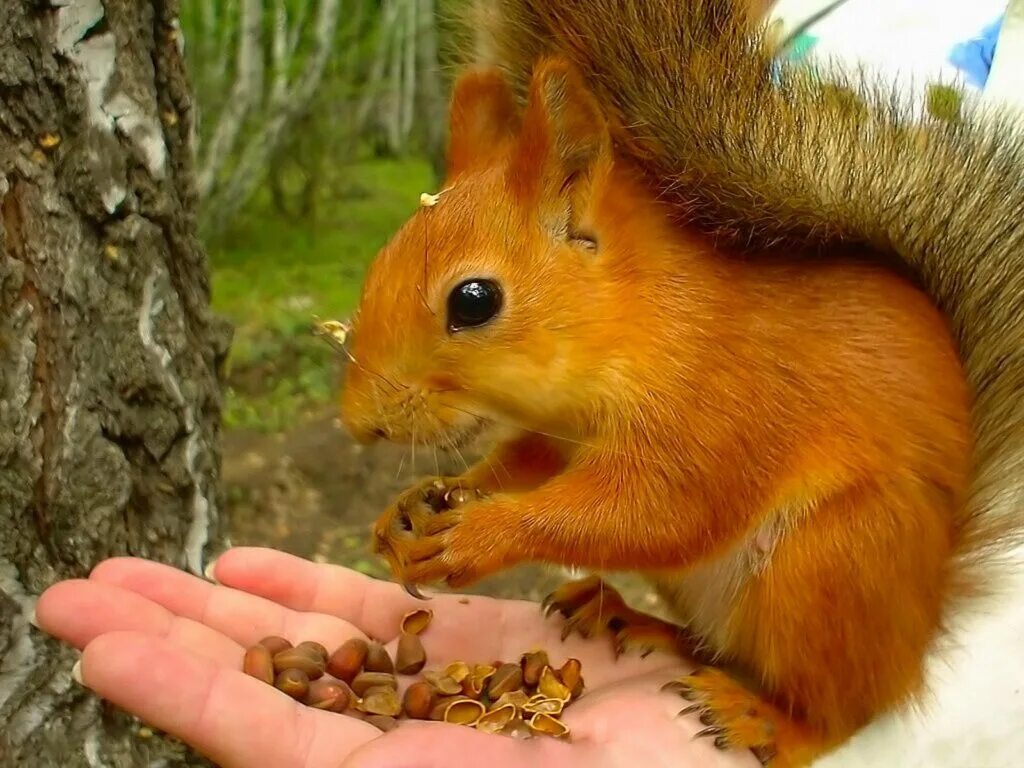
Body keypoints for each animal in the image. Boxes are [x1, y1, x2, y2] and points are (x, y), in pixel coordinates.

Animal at [339, 1, 1024, 768]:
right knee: (716, 648)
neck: (636, 320)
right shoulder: (557, 432)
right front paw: (417, 507)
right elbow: (528, 465)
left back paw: (763, 720)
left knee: (840, 710)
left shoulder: (715, 403)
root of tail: (919, 628)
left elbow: (659, 511)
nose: (357, 421)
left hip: (832, 565)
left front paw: (482, 534)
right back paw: (627, 620)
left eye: (474, 300)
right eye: (382, 261)